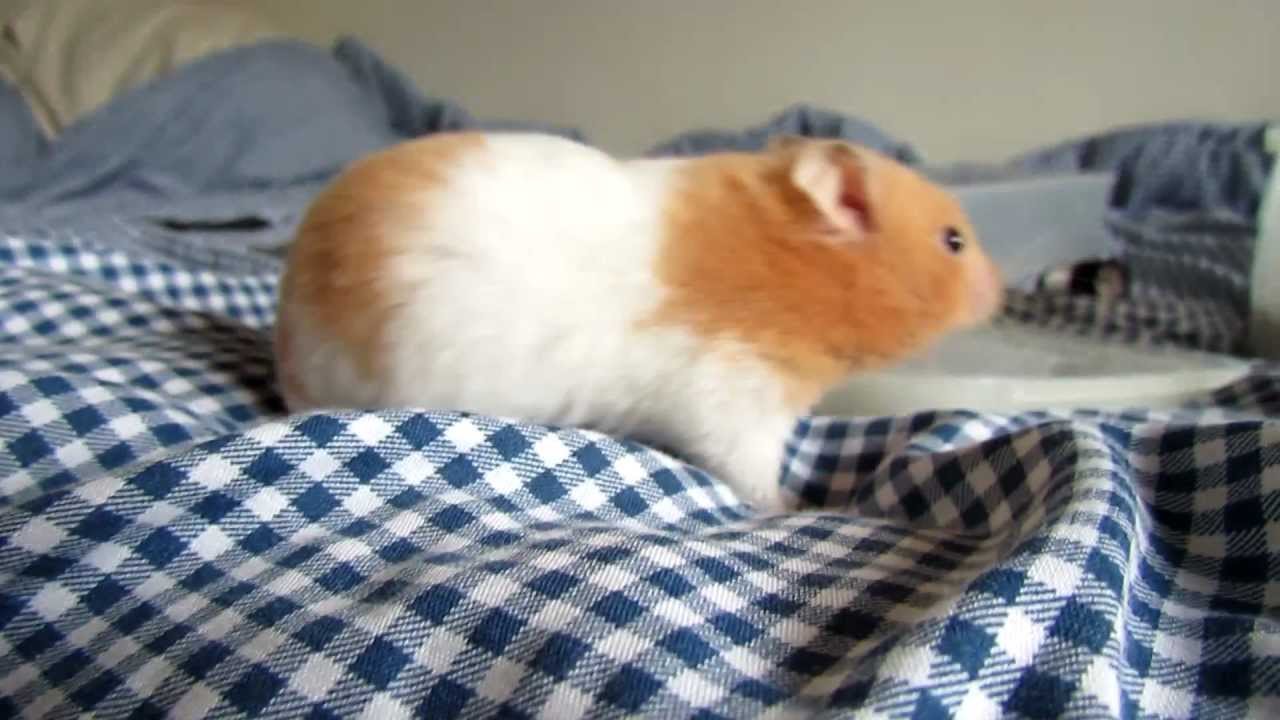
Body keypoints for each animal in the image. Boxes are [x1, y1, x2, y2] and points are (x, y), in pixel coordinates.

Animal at [274, 132, 1004, 513]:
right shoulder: (736, 399)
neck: (802, 269)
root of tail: (289, 325)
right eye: (954, 242)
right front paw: (797, 507)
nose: (1000, 292)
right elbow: (756, 473)